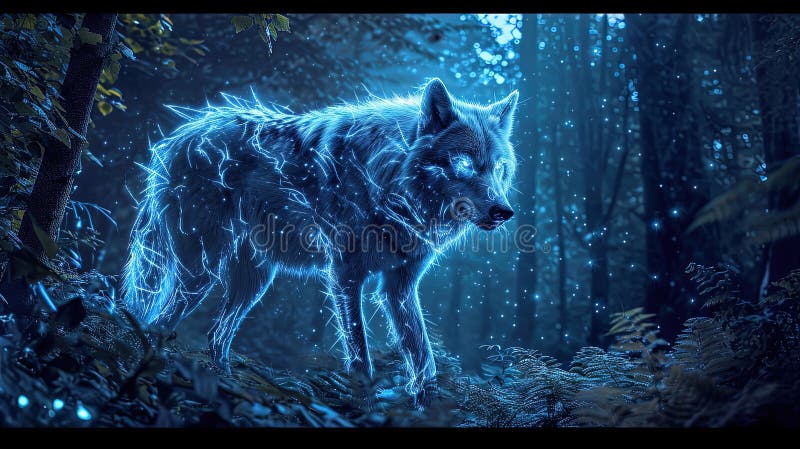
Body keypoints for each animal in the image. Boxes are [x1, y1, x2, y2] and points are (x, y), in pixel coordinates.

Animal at [122, 78, 518, 394]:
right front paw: (364, 404)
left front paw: (425, 406)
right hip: (201, 271)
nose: (504, 212)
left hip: (254, 281)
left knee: (216, 334)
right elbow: (360, 357)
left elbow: (424, 359)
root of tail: (174, 138)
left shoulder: (399, 286)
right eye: (464, 163)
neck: (390, 181)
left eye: (499, 168)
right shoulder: (345, 276)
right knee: (159, 323)